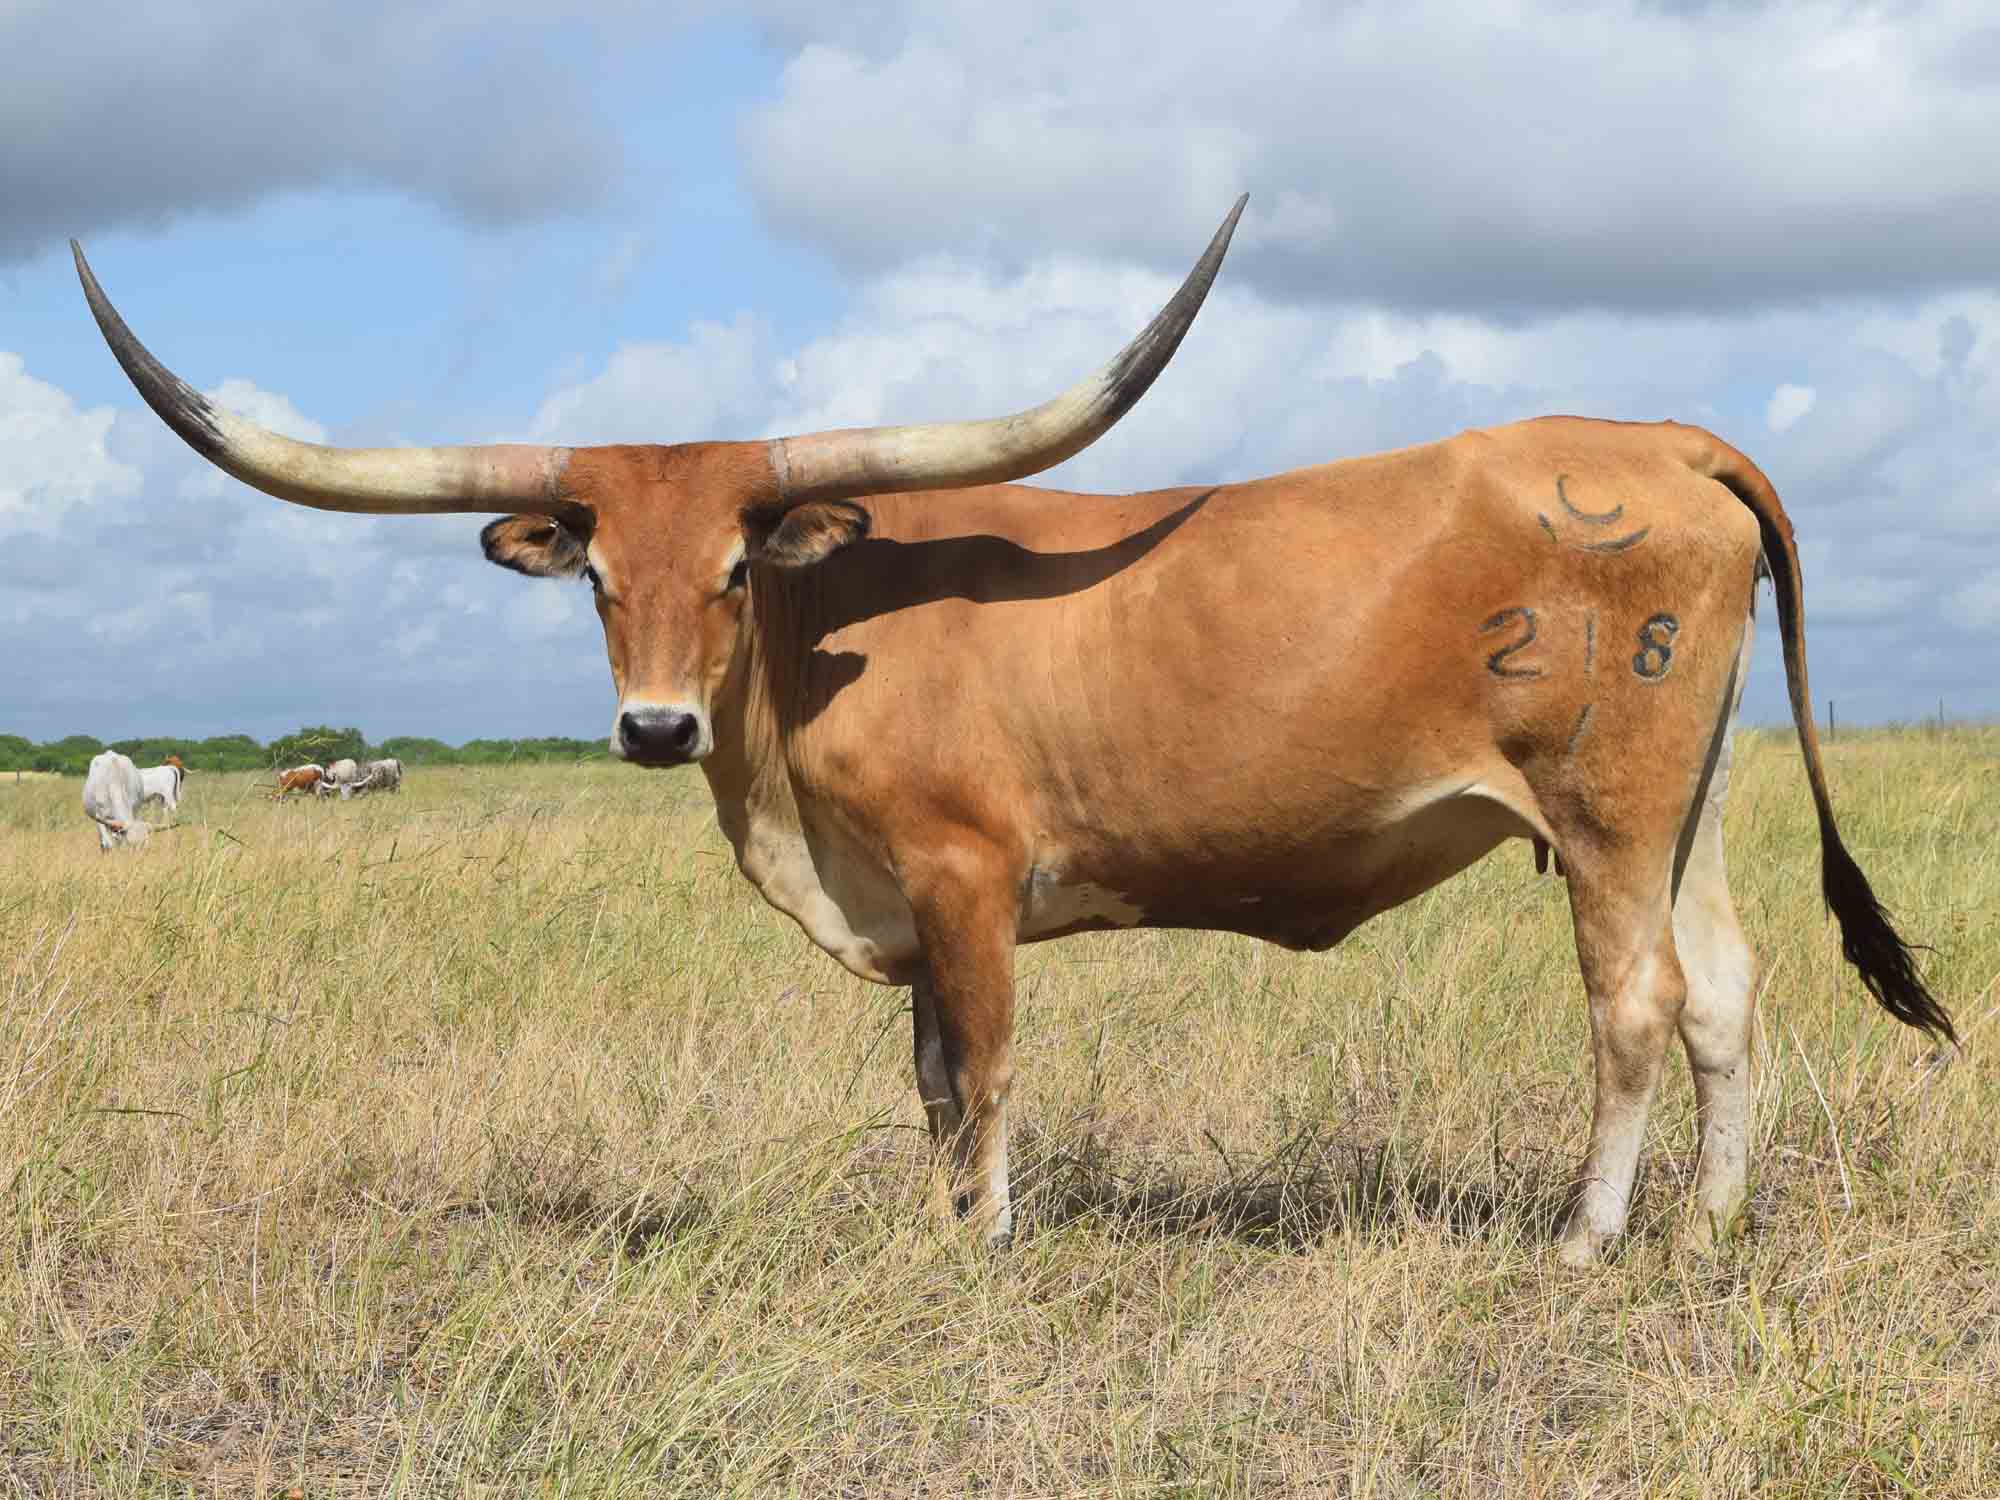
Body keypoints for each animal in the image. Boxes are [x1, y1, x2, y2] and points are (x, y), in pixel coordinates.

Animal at [75, 198, 1953, 1265]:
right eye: (599, 573)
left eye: (737, 561)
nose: (656, 725)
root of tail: (1650, 437)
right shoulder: (904, 915)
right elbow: (921, 1087)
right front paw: (932, 1236)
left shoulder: (967, 880)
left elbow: (980, 1076)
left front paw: (985, 1246)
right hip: (1687, 805)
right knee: (1724, 995)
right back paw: (1708, 1229)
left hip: (1606, 814)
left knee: (1632, 1006)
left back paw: (1585, 1240)